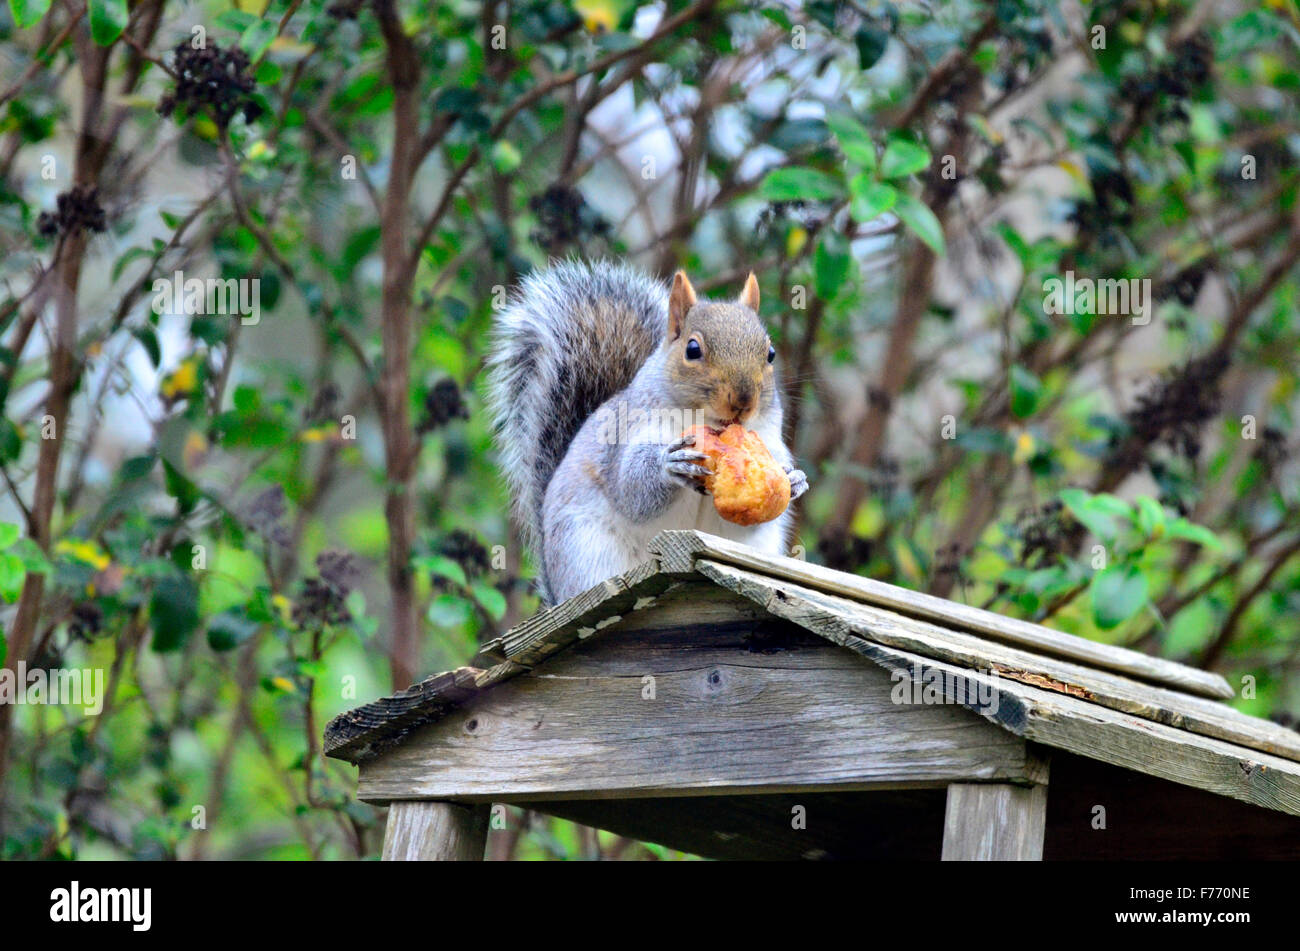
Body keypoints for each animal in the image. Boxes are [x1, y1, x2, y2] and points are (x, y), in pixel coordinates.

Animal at [487, 259, 808, 605]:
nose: (743, 402)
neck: (702, 420)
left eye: (770, 353)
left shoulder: (770, 442)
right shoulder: (625, 433)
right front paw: (670, 465)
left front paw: (794, 480)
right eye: (692, 349)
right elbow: (631, 488)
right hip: (588, 553)